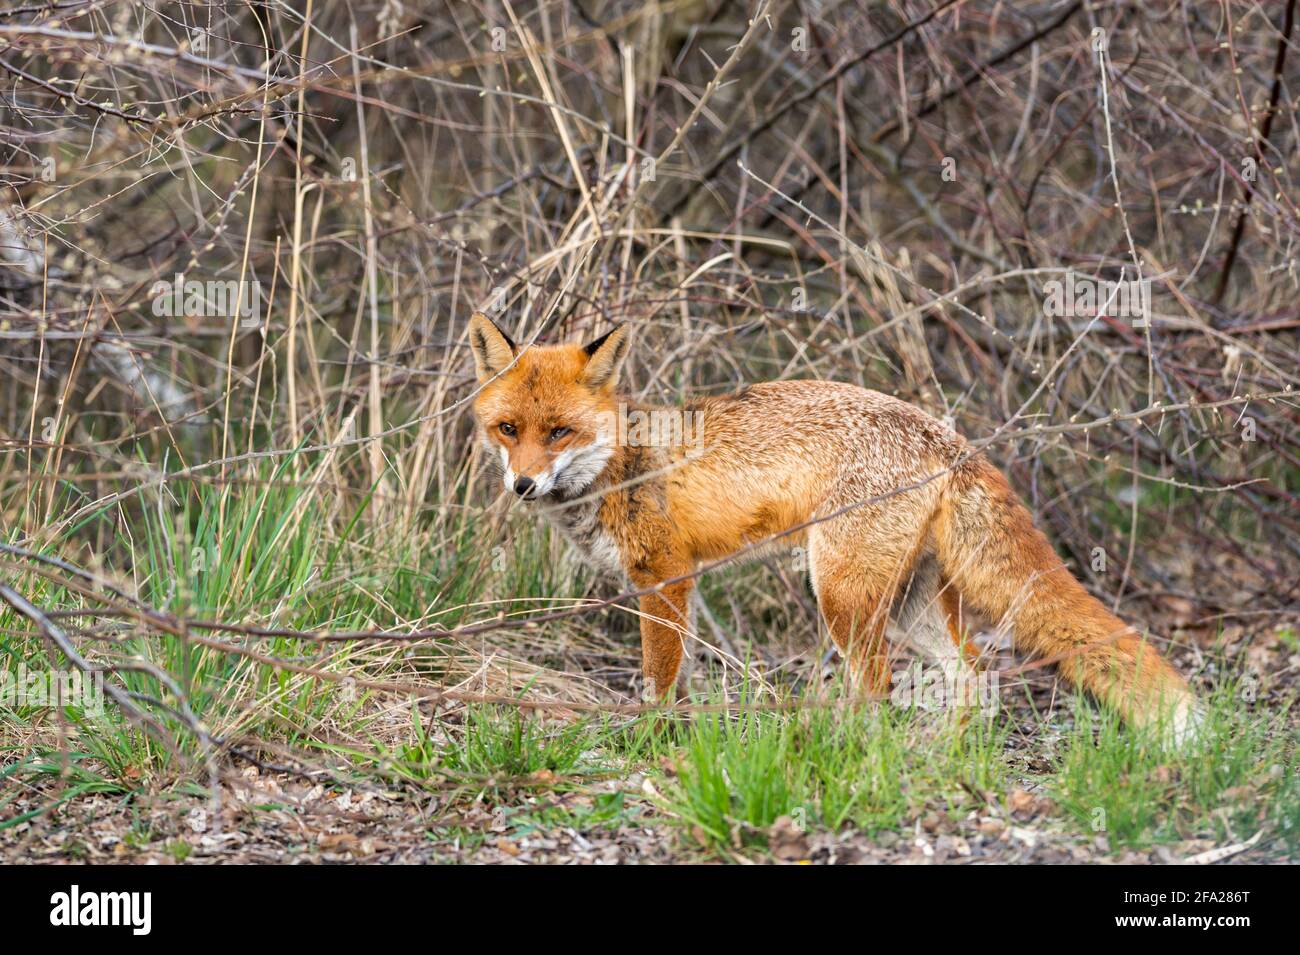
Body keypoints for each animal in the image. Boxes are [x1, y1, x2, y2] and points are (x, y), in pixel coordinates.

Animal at [468, 312, 1199, 739]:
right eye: (508, 429)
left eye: (558, 432)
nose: (523, 485)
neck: (621, 465)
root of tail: (948, 436)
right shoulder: (684, 586)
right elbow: (685, 675)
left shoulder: (665, 579)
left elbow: (659, 680)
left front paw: (651, 742)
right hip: (908, 604)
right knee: (972, 673)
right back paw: (947, 756)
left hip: (842, 594)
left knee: (879, 686)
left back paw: (849, 752)